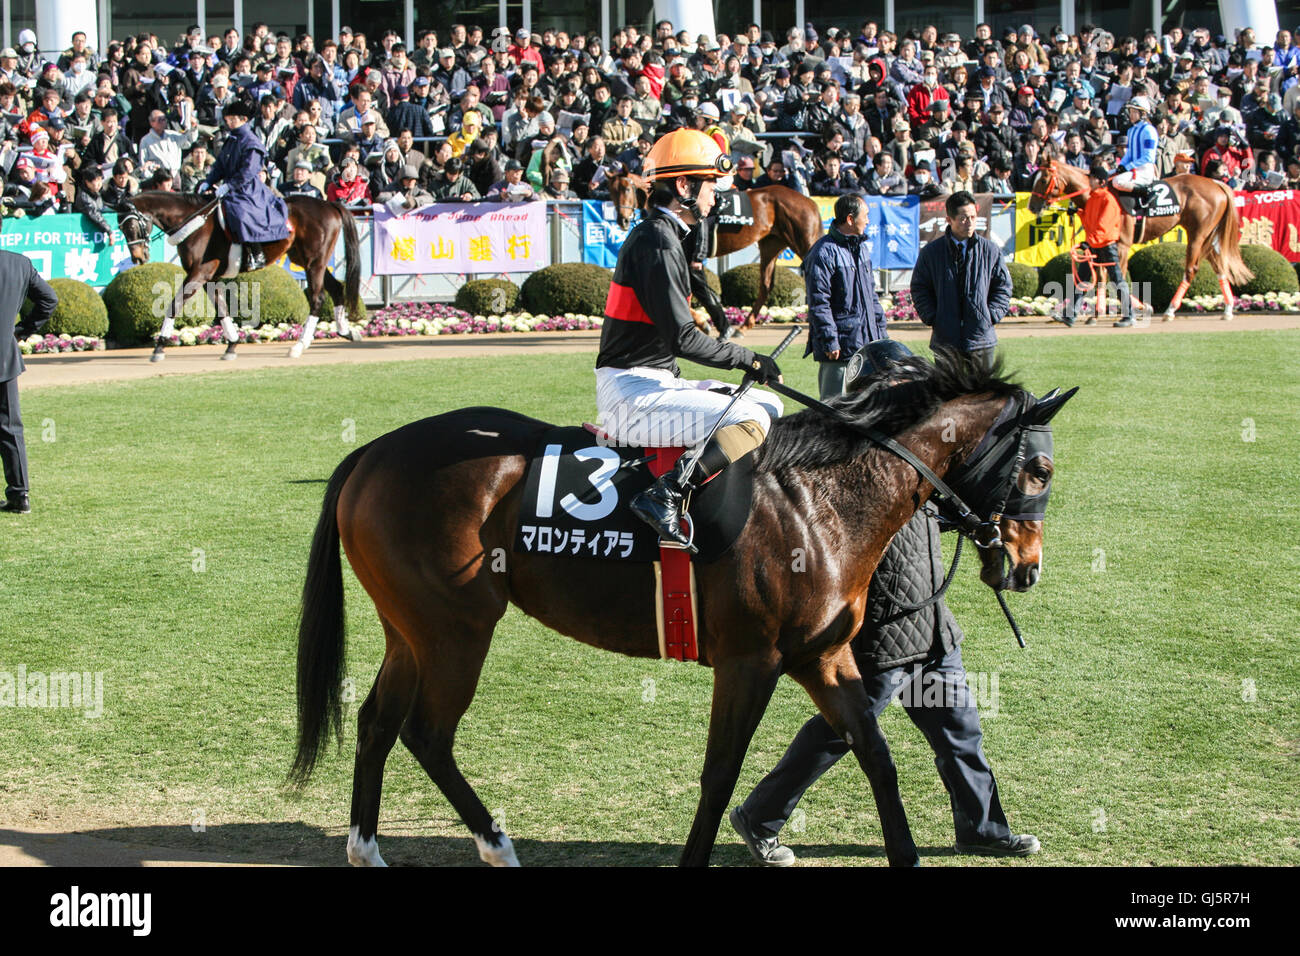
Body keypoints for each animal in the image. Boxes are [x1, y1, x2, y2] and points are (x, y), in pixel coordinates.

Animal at [118, 191, 364, 361]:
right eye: (121, 228)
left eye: (132, 225)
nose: (138, 257)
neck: (196, 223)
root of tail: (328, 204)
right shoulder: (209, 278)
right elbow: (222, 309)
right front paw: (232, 344)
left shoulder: (199, 273)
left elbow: (174, 305)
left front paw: (159, 346)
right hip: (307, 260)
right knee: (336, 289)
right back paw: (346, 331)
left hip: (314, 262)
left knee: (317, 298)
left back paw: (299, 345)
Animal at [290, 354, 1077, 867]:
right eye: (1039, 470)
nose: (1027, 566)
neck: (820, 499)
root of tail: (370, 453)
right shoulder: (750, 661)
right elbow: (720, 772)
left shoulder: (823, 656)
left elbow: (875, 756)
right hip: (457, 629)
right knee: (426, 732)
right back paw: (496, 842)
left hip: (411, 629)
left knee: (377, 720)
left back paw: (368, 847)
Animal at [607, 172, 823, 331]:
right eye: (611, 192)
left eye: (627, 189)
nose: (622, 220)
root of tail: (808, 201)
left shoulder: (689, 257)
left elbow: (695, 289)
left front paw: (709, 323)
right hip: (770, 244)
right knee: (766, 285)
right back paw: (745, 325)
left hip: (804, 241)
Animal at [1027, 159, 1252, 320]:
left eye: (1043, 179)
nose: (1032, 206)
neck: (1097, 195)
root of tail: (1216, 183)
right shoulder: (1101, 243)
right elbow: (1101, 275)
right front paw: (1100, 311)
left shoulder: (1122, 245)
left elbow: (1116, 276)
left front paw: (1133, 308)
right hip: (1207, 235)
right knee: (1218, 265)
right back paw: (1228, 309)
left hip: (1198, 234)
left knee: (1191, 269)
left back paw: (1170, 310)